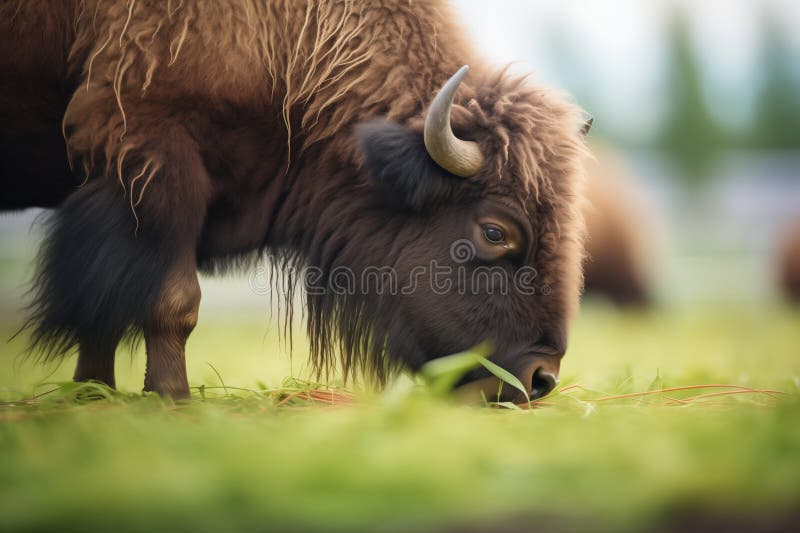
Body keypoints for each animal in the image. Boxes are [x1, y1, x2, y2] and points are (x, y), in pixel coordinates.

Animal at [1, 1, 589, 401]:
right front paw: (170, 396)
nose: (539, 378)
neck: (300, 44)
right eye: (494, 231)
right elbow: (171, 299)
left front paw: (93, 391)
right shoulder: (154, 153)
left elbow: (103, 300)